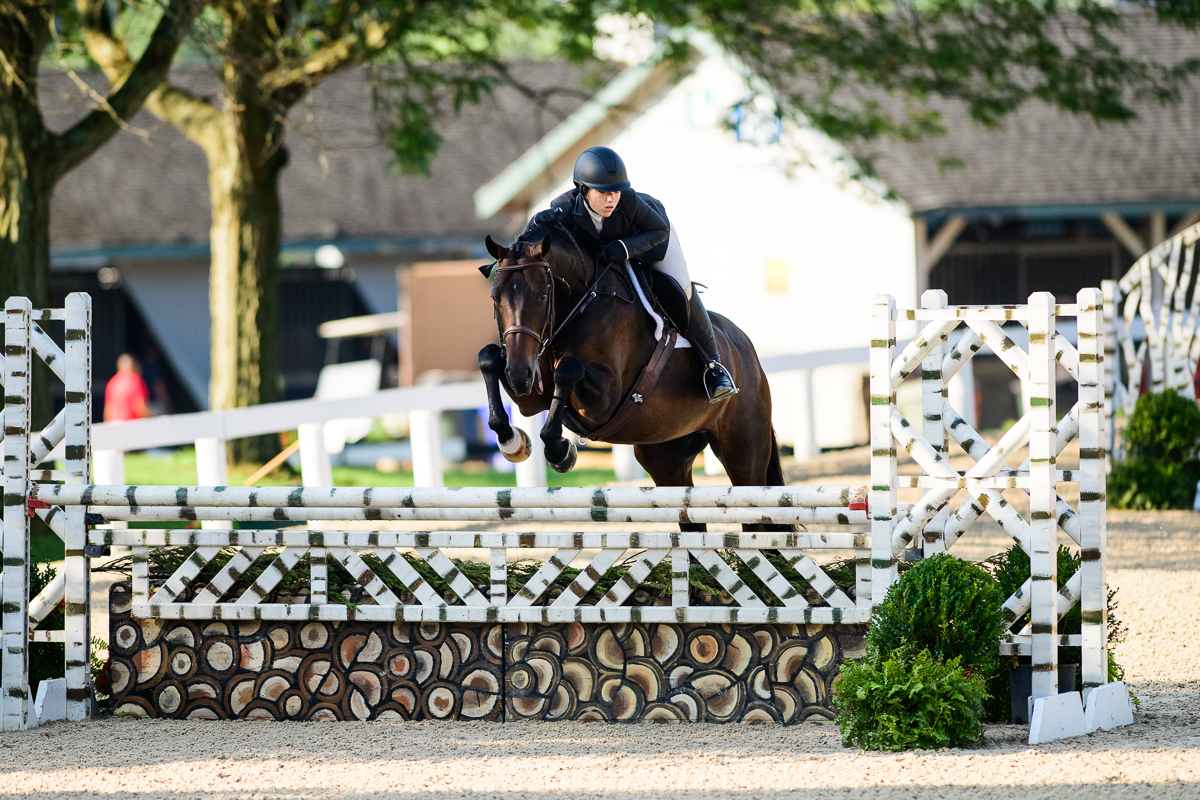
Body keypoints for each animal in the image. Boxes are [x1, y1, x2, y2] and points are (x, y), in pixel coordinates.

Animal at [477, 225, 788, 525]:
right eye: (495, 298)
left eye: (543, 295)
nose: (519, 374)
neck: (581, 301)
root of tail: (746, 349)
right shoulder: (533, 395)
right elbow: (488, 357)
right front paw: (512, 441)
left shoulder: (602, 401)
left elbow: (568, 369)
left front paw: (560, 451)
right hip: (667, 457)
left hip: (744, 453)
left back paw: (719, 380)